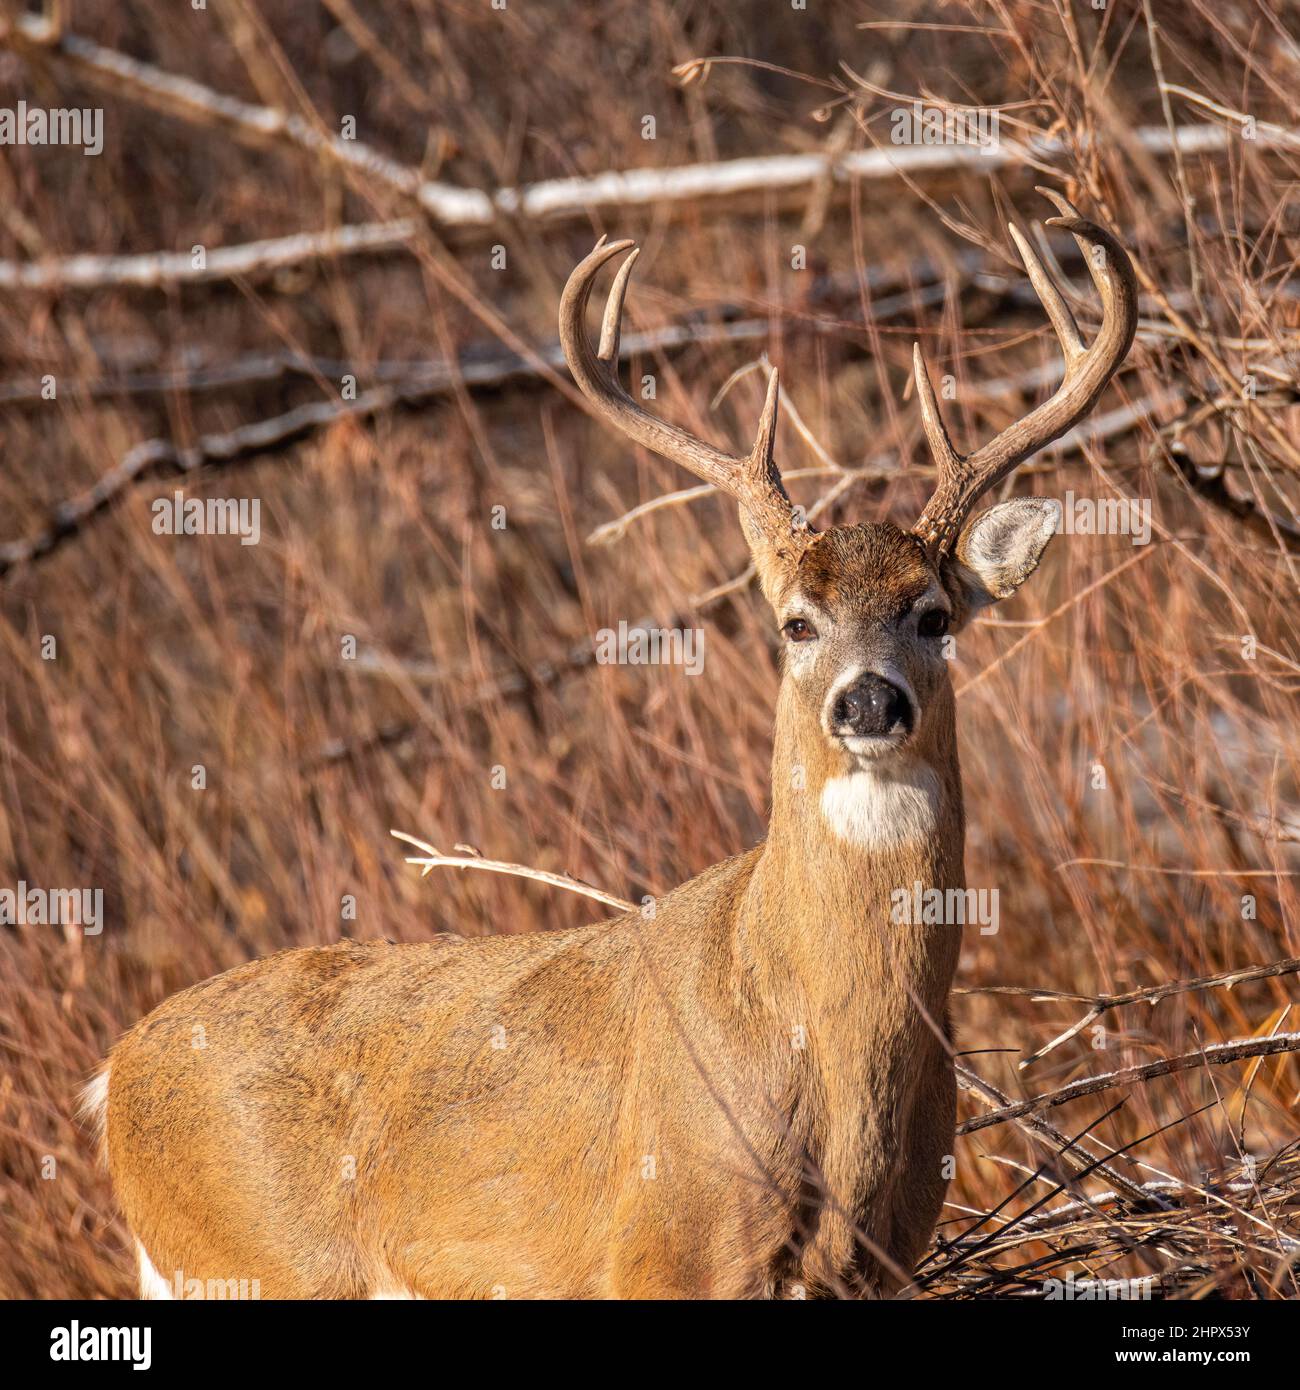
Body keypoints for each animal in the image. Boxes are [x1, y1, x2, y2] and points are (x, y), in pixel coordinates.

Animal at [84, 189, 1135, 1300]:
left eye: (933, 614)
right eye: (795, 623)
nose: (867, 701)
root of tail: (114, 1073)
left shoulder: (883, 1256)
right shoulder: (660, 1245)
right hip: (255, 1260)